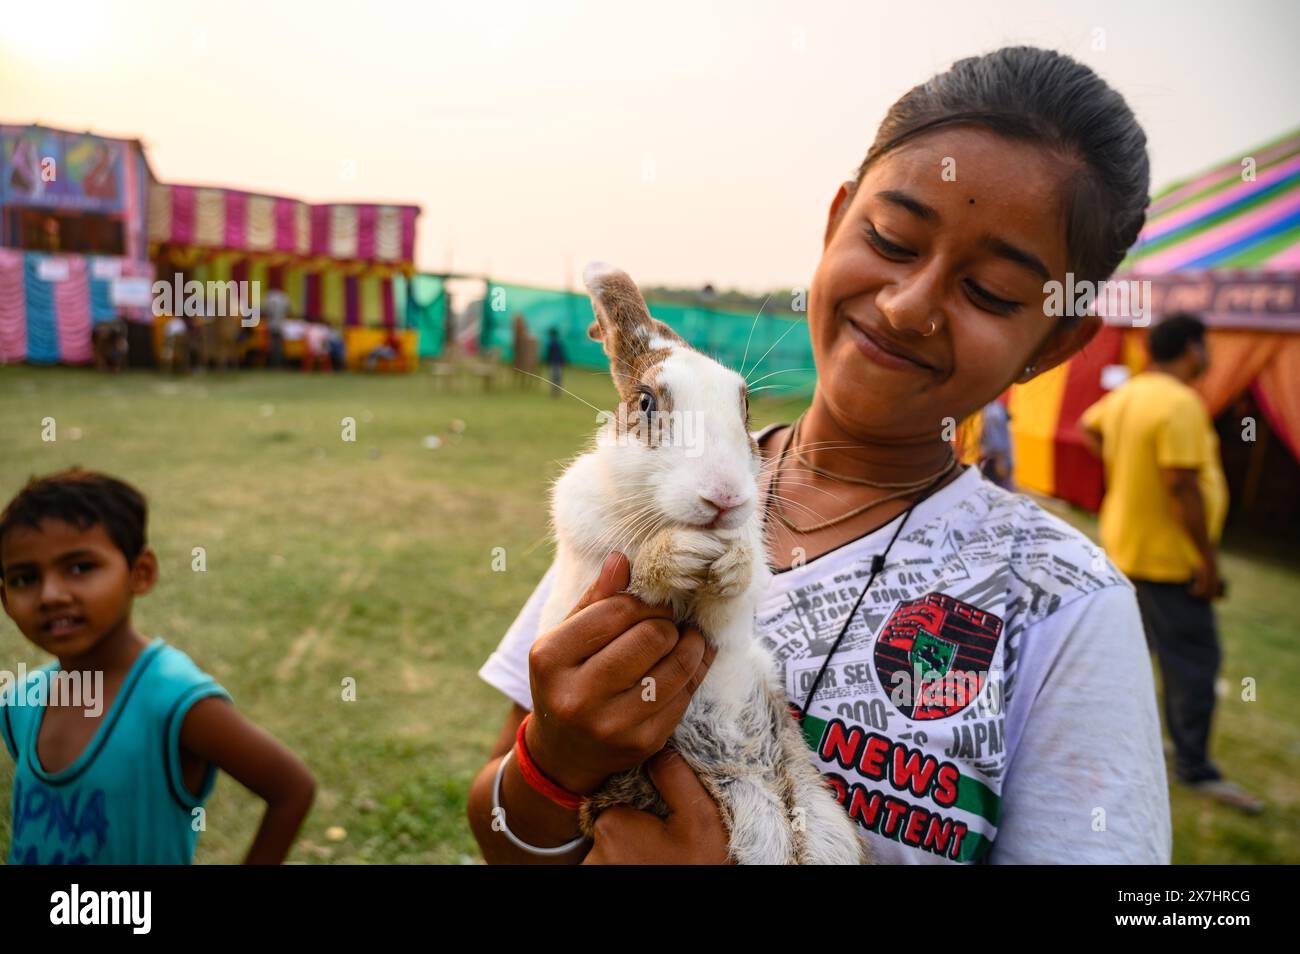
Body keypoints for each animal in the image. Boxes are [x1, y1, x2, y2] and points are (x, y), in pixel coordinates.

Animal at [534, 262, 869, 865]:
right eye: (646, 403)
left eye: (745, 409)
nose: (725, 497)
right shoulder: (596, 565)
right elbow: (642, 575)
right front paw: (677, 555)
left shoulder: (724, 623)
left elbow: (731, 592)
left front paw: (729, 561)